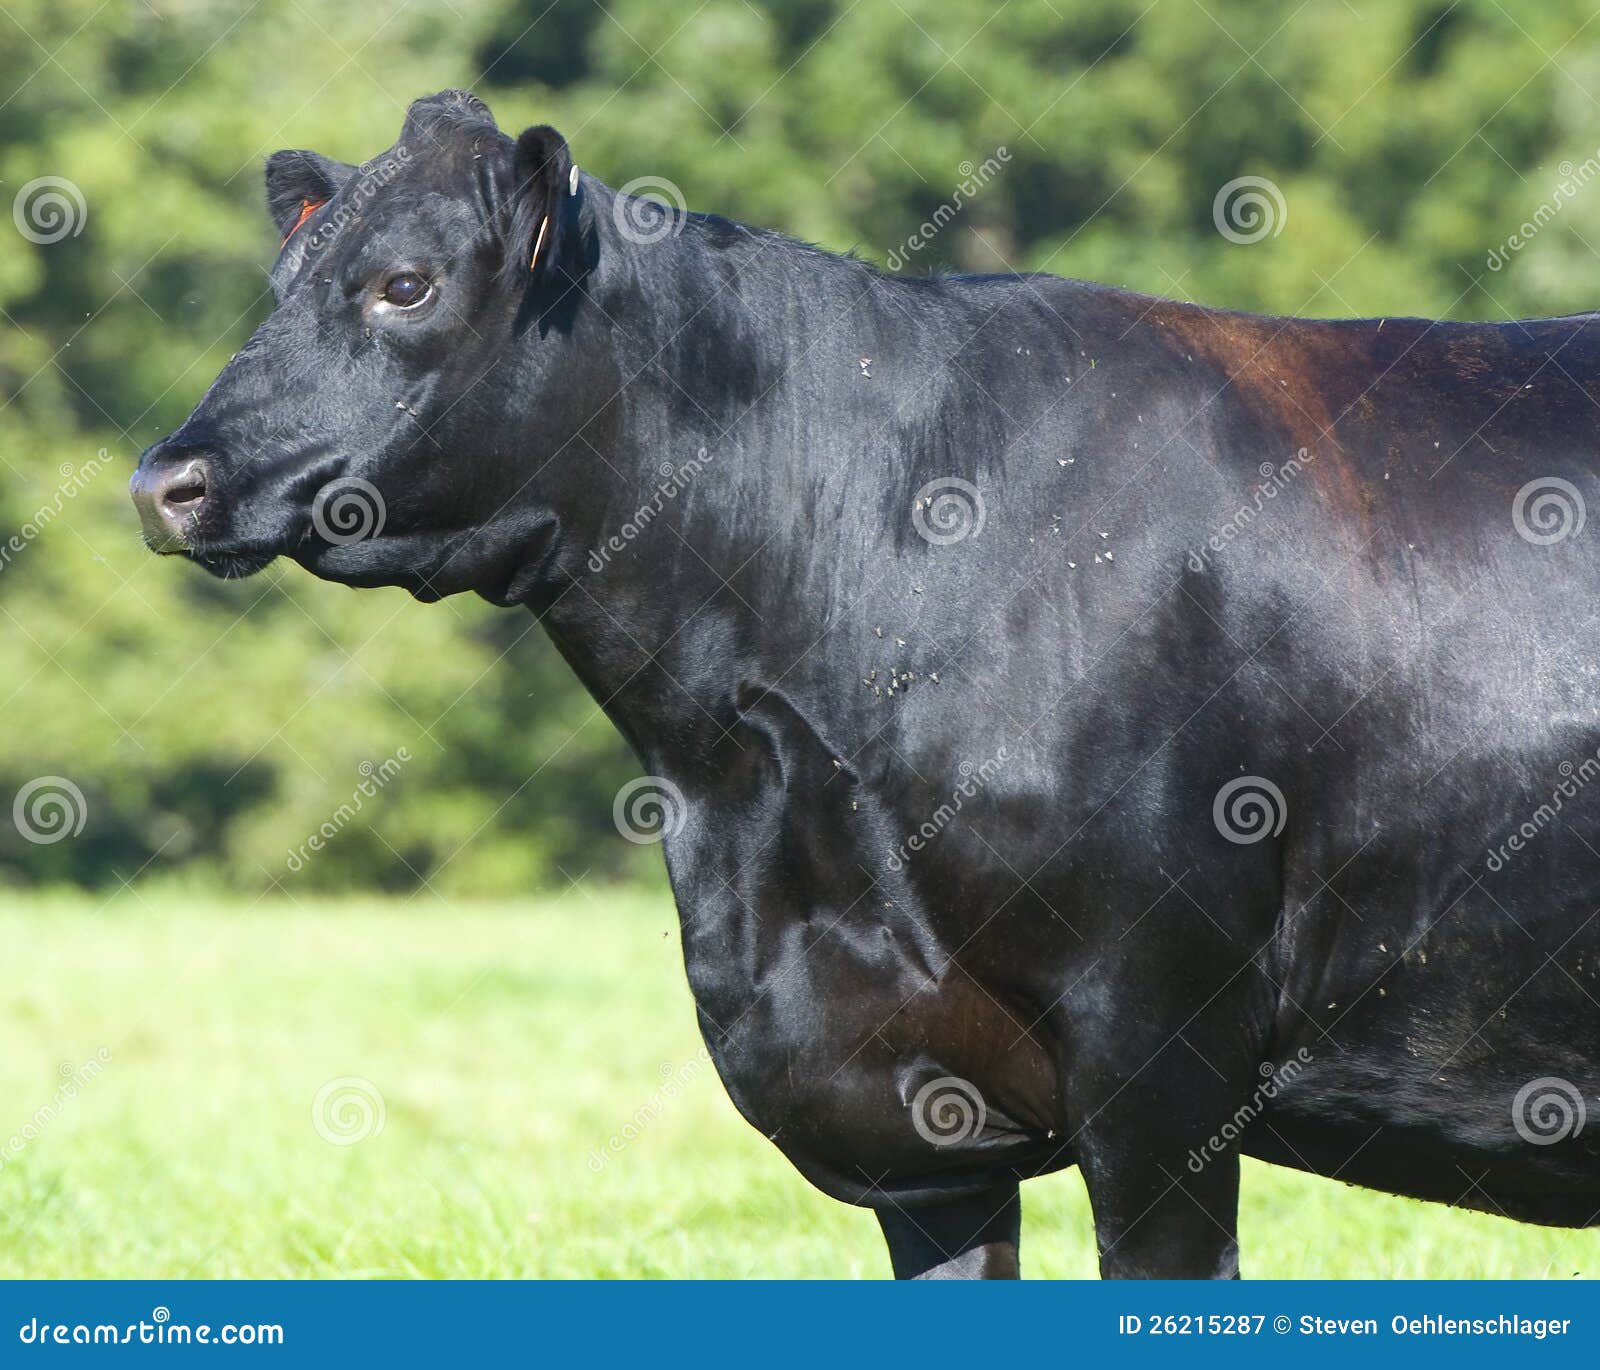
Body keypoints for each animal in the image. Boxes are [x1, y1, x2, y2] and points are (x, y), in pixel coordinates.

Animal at [130, 90, 1600, 1278]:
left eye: (404, 285)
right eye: (286, 277)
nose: (166, 480)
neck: (758, 796)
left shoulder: (1163, 1057)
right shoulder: (919, 1132)